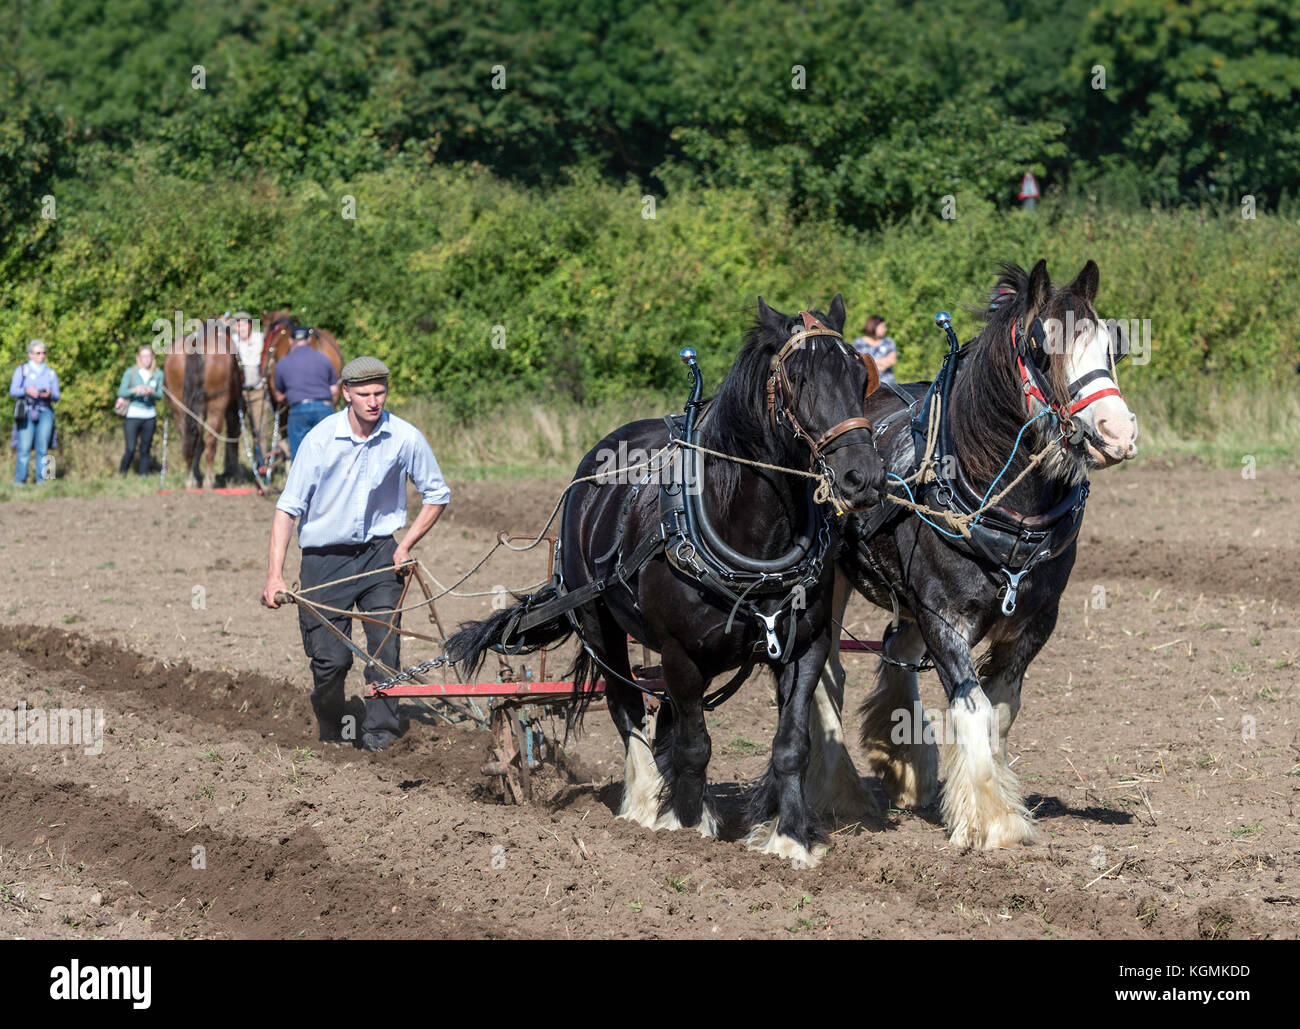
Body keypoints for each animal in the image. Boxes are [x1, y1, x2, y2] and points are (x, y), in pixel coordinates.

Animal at [162, 319, 244, 489]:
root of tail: (196, 342)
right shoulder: (233, 406)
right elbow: (233, 435)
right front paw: (237, 473)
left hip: (178, 405)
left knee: (187, 438)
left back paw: (190, 479)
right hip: (217, 405)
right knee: (211, 440)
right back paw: (208, 480)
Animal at [446, 297, 887, 867]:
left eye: (859, 375)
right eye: (800, 377)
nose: (864, 477)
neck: (749, 533)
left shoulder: (805, 645)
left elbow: (791, 745)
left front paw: (789, 839)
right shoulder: (680, 653)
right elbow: (695, 745)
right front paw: (687, 828)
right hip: (600, 624)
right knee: (627, 708)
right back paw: (642, 804)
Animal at [806, 259, 1139, 850]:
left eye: (1111, 346)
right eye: (1039, 349)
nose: (1117, 432)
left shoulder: (1035, 623)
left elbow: (1001, 710)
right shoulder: (945, 620)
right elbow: (972, 706)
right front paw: (993, 818)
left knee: (896, 647)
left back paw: (905, 767)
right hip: (831, 581)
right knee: (829, 676)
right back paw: (841, 792)